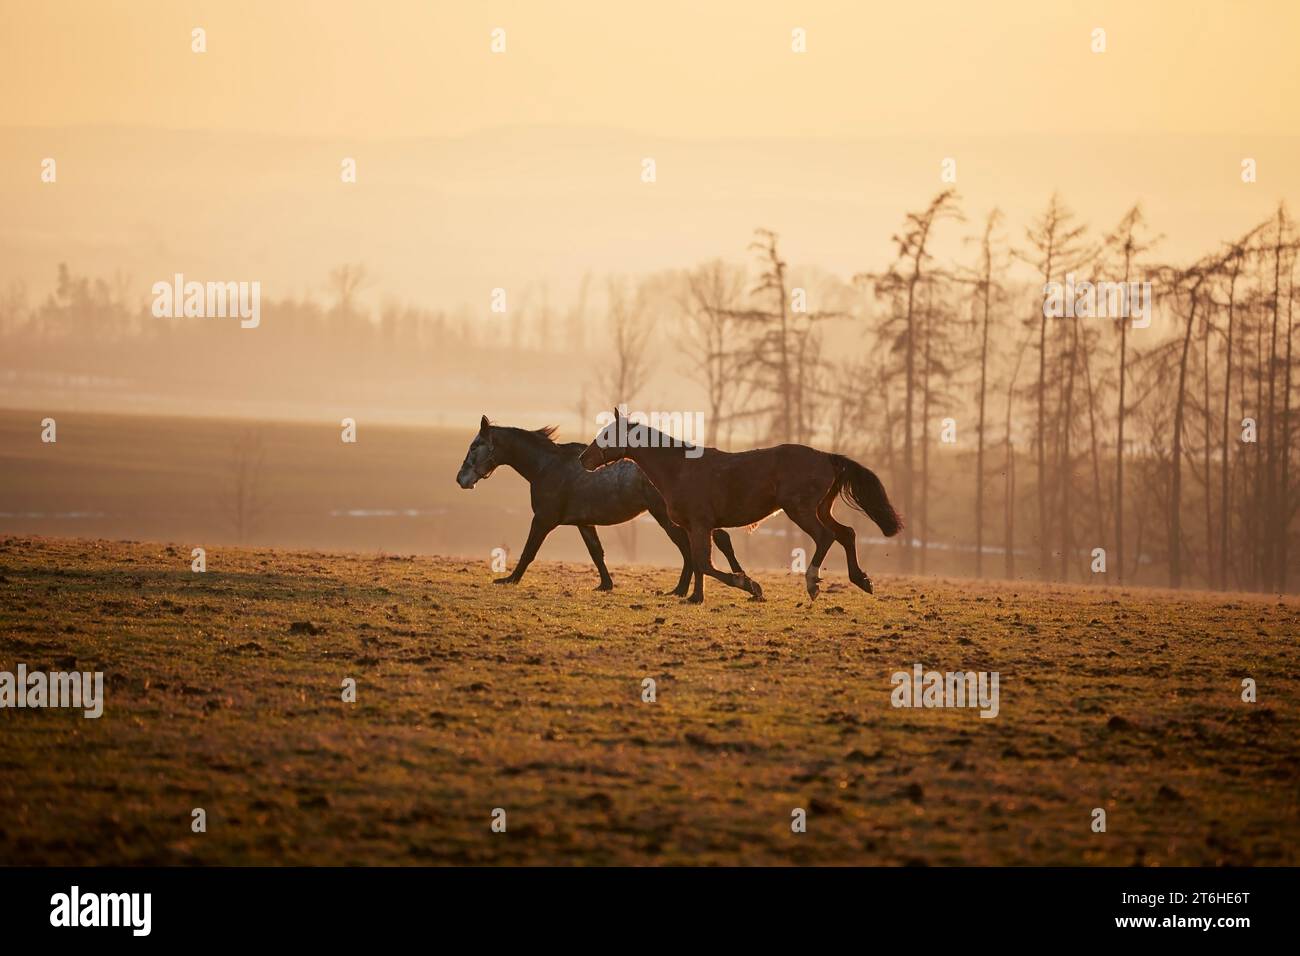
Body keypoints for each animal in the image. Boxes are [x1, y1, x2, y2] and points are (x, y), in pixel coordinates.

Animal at [457, 416, 745, 594]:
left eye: (475, 446)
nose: (461, 479)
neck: (545, 467)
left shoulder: (543, 520)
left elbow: (529, 552)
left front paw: (510, 579)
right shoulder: (584, 523)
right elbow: (596, 553)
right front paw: (606, 584)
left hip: (666, 518)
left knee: (688, 550)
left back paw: (682, 591)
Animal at [578, 408, 903, 603]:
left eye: (608, 435)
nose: (583, 458)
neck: (680, 468)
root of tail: (827, 457)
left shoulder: (700, 525)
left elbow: (705, 564)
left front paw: (748, 585)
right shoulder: (697, 527)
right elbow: (699, 562)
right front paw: (696, 597)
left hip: (801, 510)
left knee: (826, 537)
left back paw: (813, 583)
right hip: (821, 508)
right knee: (846, 533)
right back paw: (861, 580)